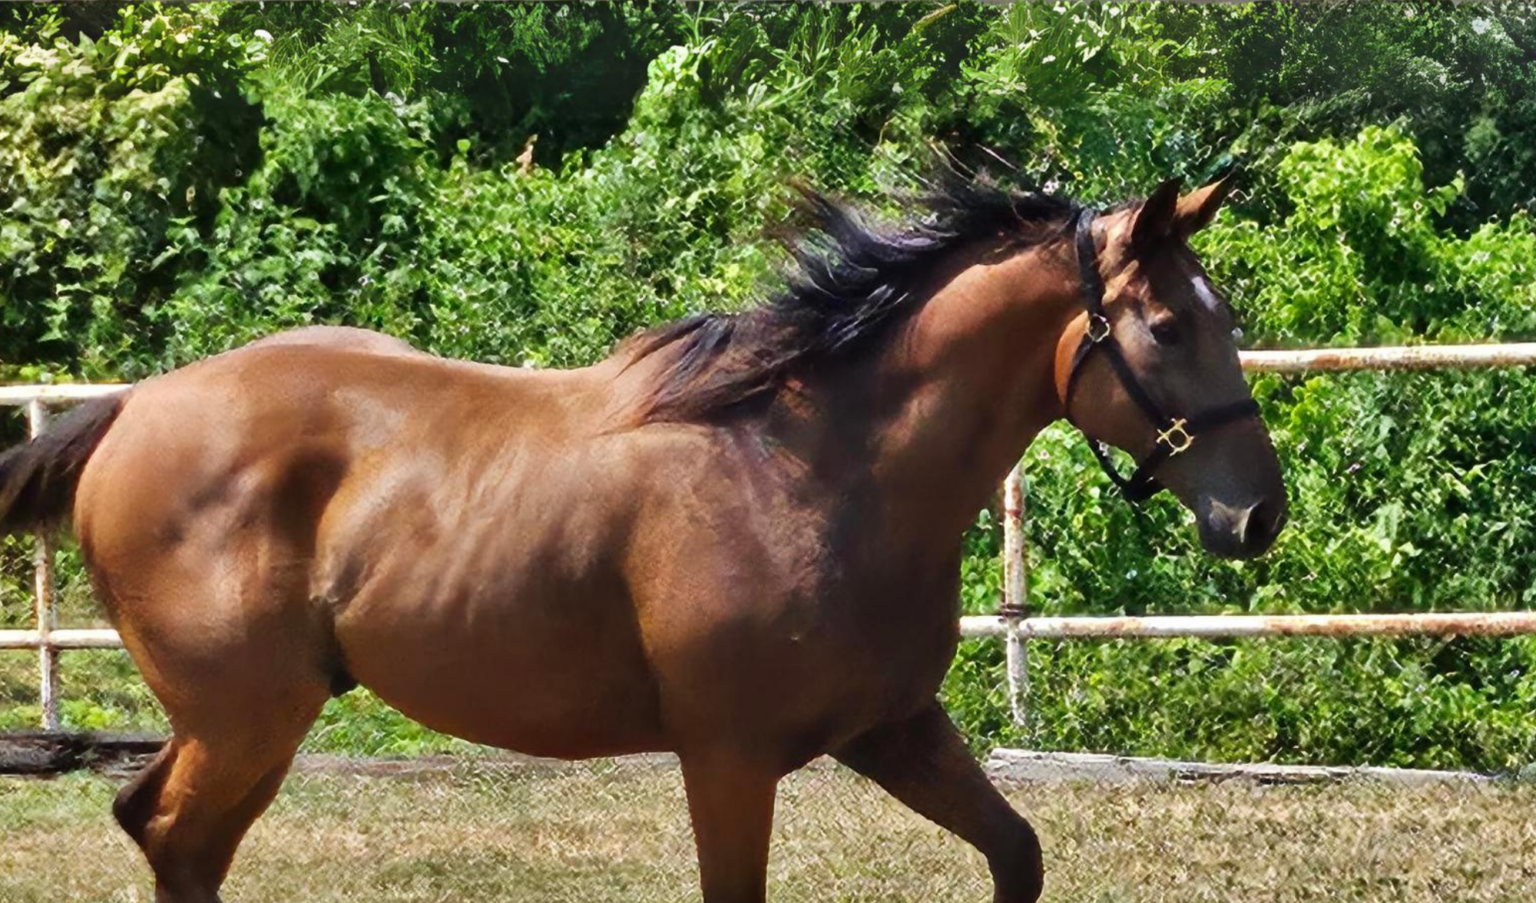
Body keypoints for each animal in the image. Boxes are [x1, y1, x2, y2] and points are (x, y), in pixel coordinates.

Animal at [0, 173, 1285, 902]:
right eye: (1167, 326)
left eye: (1222, 316)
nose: (1258, 514)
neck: (812, 467)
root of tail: (130, 410)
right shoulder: (727, 758)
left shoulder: (893, 729)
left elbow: (1016, 853)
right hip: (249, 717)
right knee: (176, 837)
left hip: (235, 723)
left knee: (165, 835)